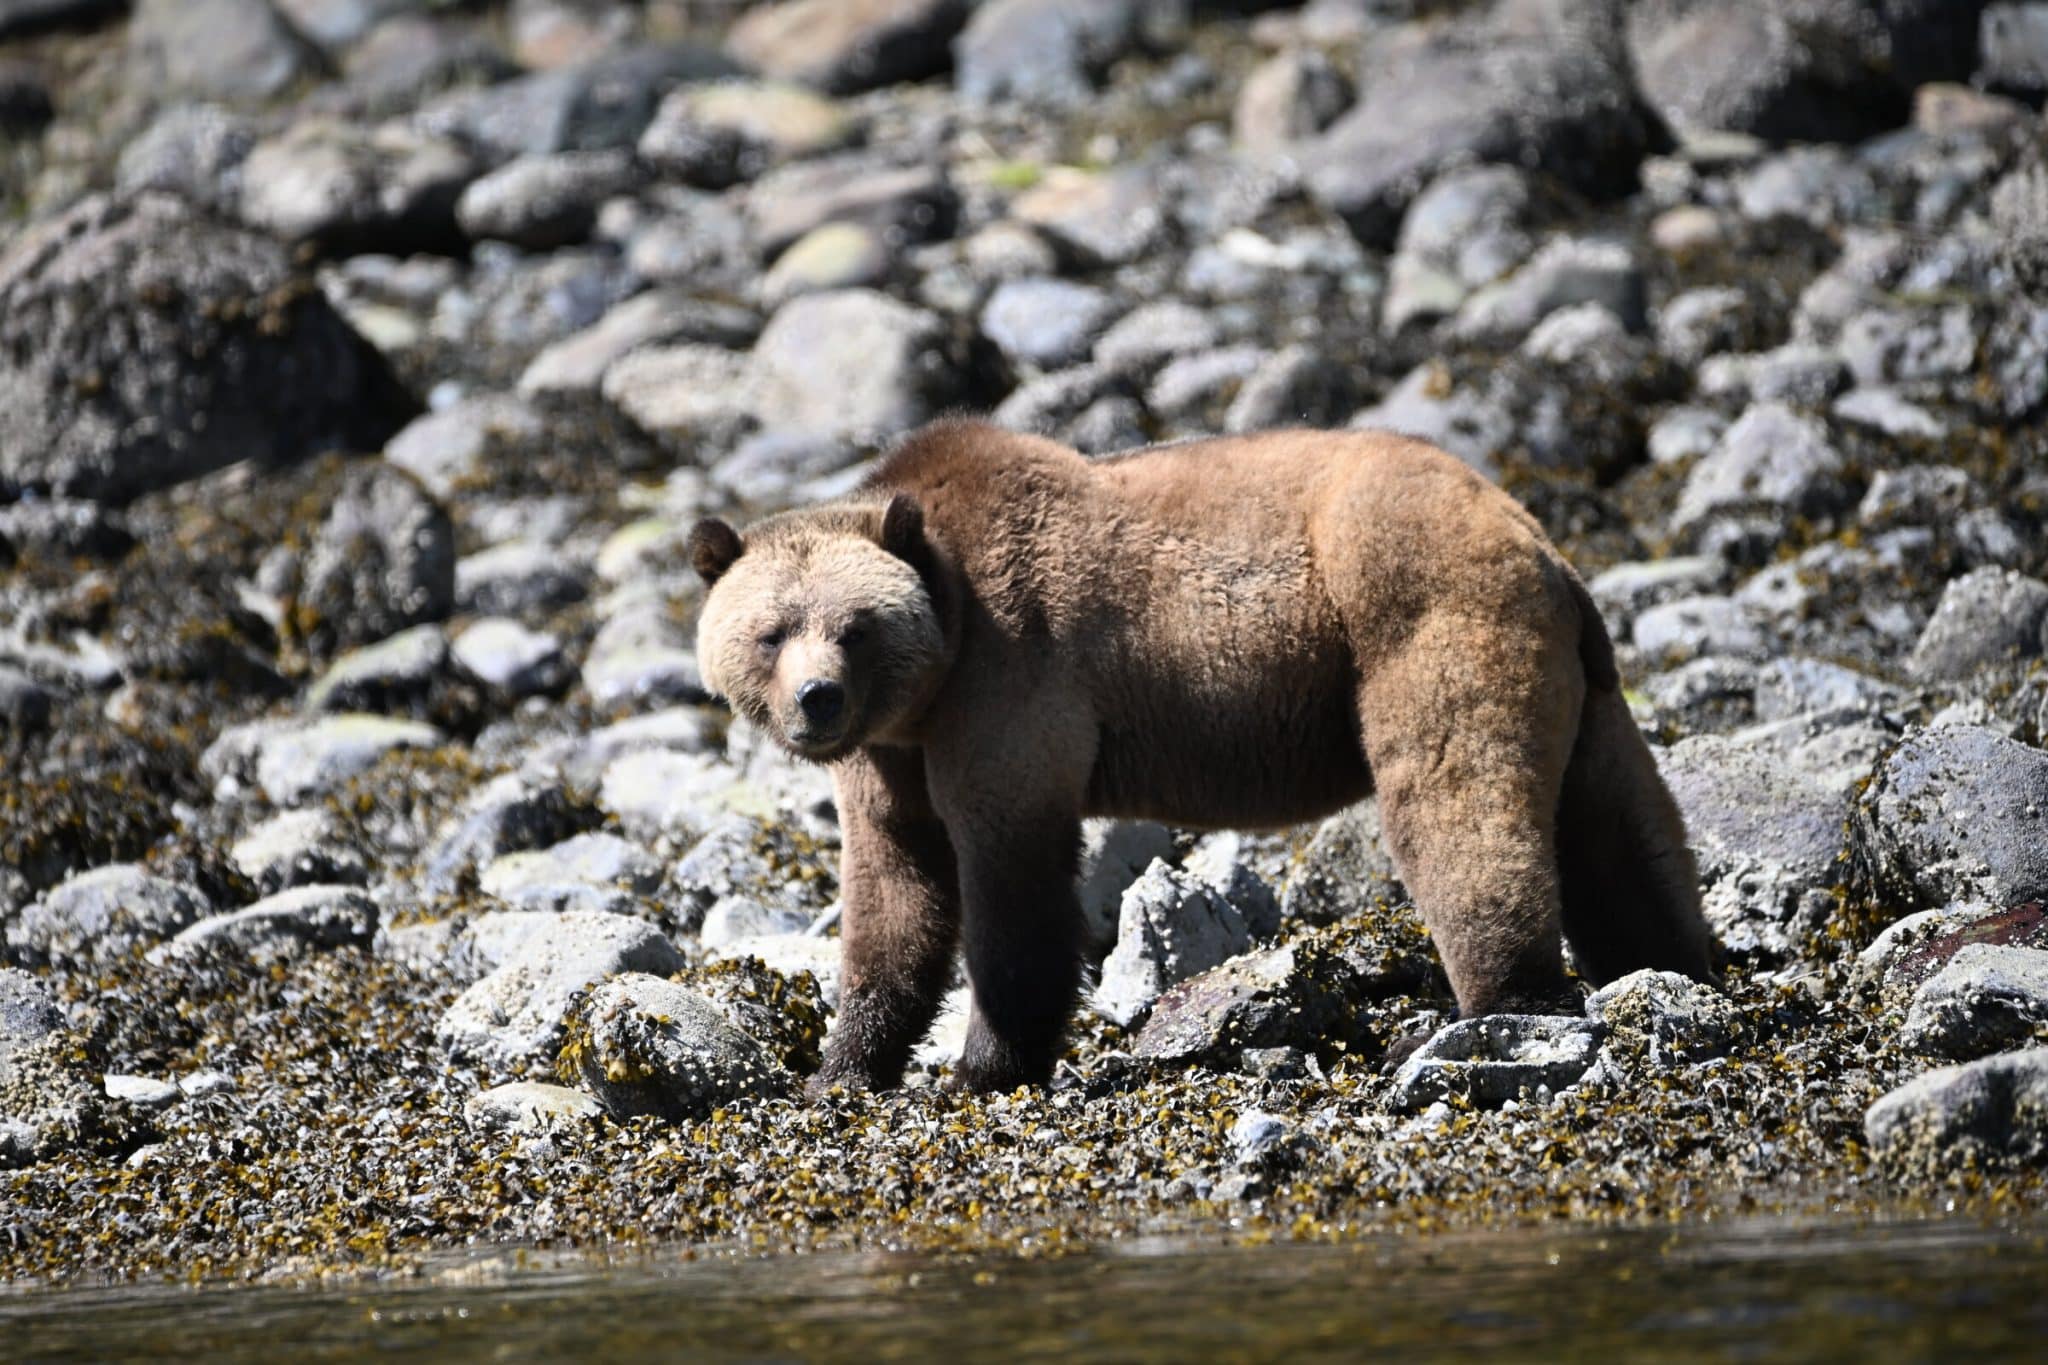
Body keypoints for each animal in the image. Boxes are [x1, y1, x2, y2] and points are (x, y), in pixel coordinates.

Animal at [688, 420, 1719, 1095]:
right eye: (772, 631)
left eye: (855, 627)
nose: (818, 701)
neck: (932, 669)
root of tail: (1533, 534)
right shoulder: (891, 759)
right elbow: (896, 895)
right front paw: (840, 1069)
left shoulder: (1010, 679)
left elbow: (1011, 886)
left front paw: (985, 1062)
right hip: (1581, 683)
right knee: (1619, 827)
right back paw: (1675, 968)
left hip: (1419, 607)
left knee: (1460, 802)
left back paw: (1492, 1012)